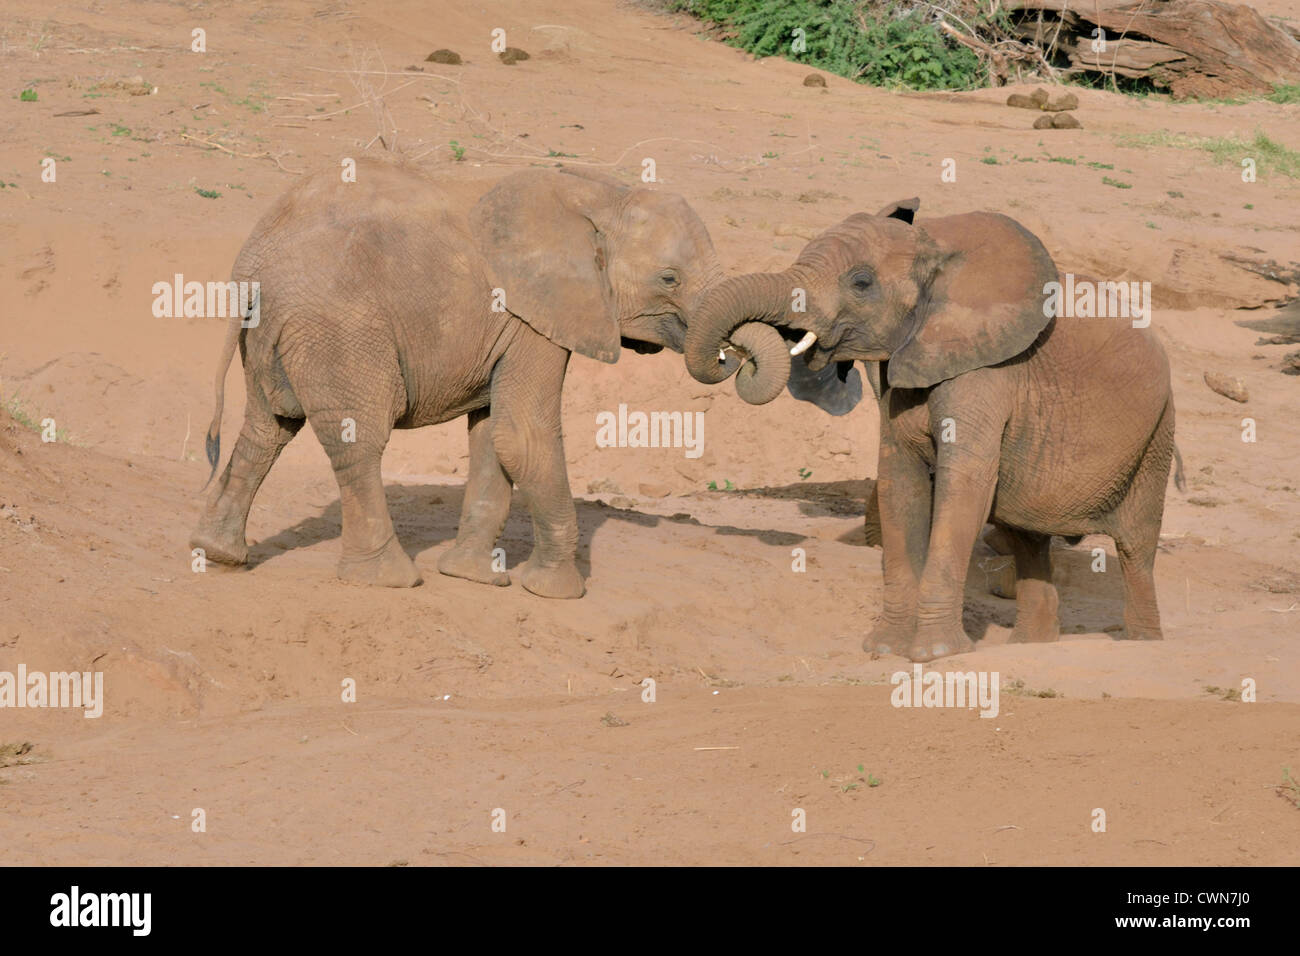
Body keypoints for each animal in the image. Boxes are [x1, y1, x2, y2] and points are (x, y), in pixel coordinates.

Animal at [190, 157, 722, 598]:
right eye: (669, 278)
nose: (730, 356)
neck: (604, 194)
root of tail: (254, 261)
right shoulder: (534, 315)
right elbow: (522, 435)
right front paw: (557, 591)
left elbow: (492, 435)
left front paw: (473, 577)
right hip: (338, 328)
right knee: (357, 440)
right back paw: (389, 579)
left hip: (276, 333)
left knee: (267, 428)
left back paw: (219, 554)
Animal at [684, 199, 1184, 662]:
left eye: (861, 282)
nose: (734, 356)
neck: (935, 248)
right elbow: (899, 483)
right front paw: (886, 649)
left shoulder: (988, 371)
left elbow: (963, 487)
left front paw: (936, 654)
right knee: (1027, 538)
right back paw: (1031, 646)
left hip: (1158, 433)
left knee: (1135, 547)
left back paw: (1143, 643)